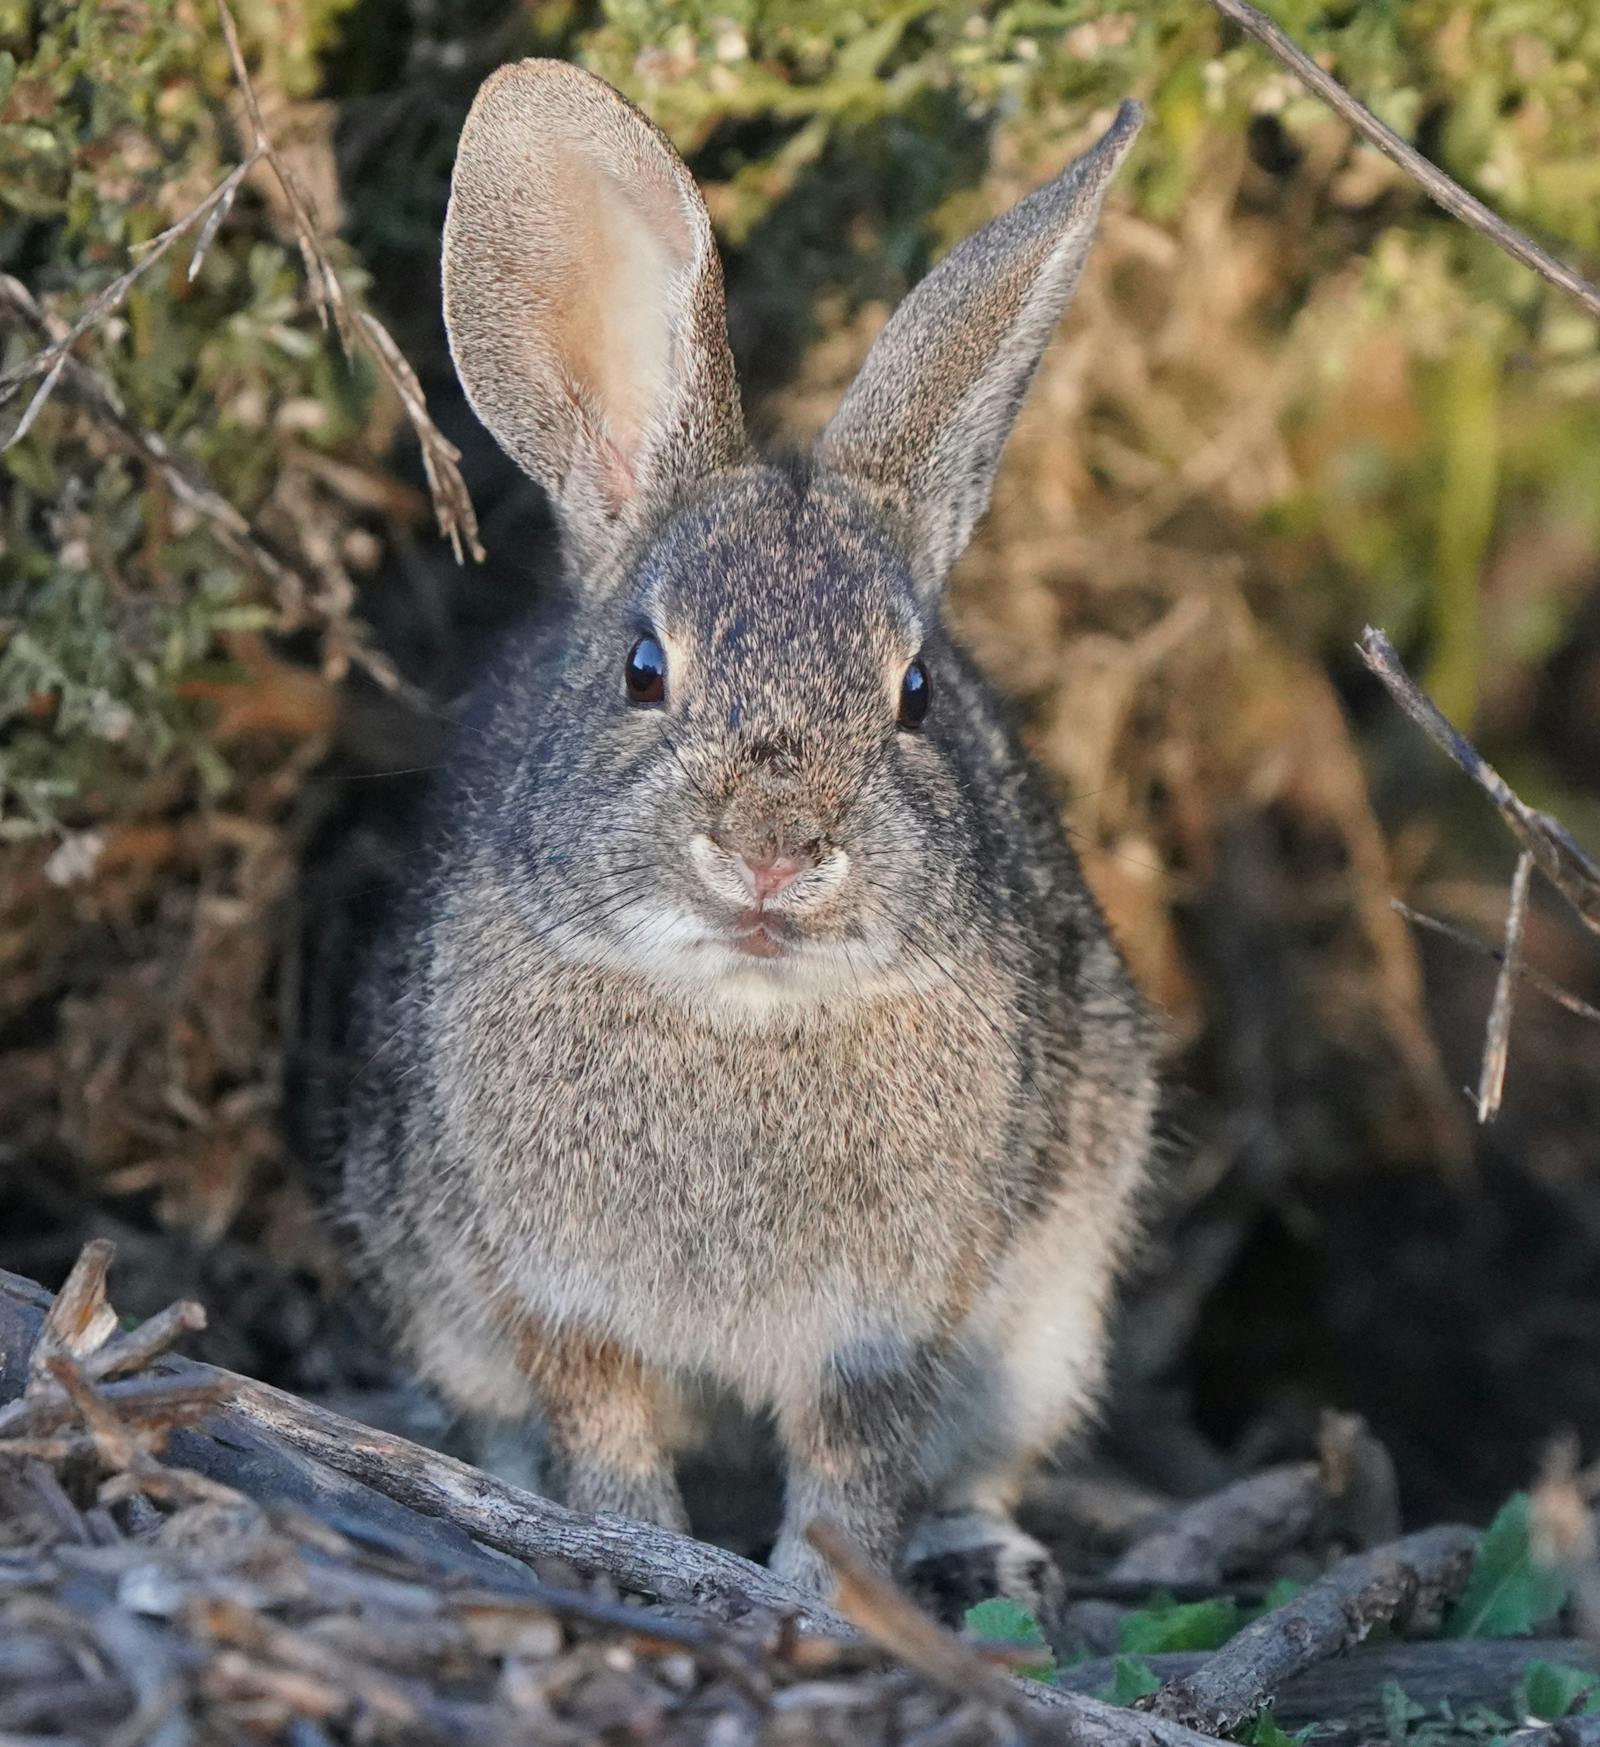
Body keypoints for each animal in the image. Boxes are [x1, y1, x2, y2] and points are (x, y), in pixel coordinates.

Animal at [339, 57, 1157, 1623]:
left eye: (914, 694)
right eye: (644, 670)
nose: (775, 849)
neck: (741, 1007)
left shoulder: (891, 1325)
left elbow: (853, 1467)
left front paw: (826, 1598)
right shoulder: (558, 1303)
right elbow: (606, 1431)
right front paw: (637, 1549)